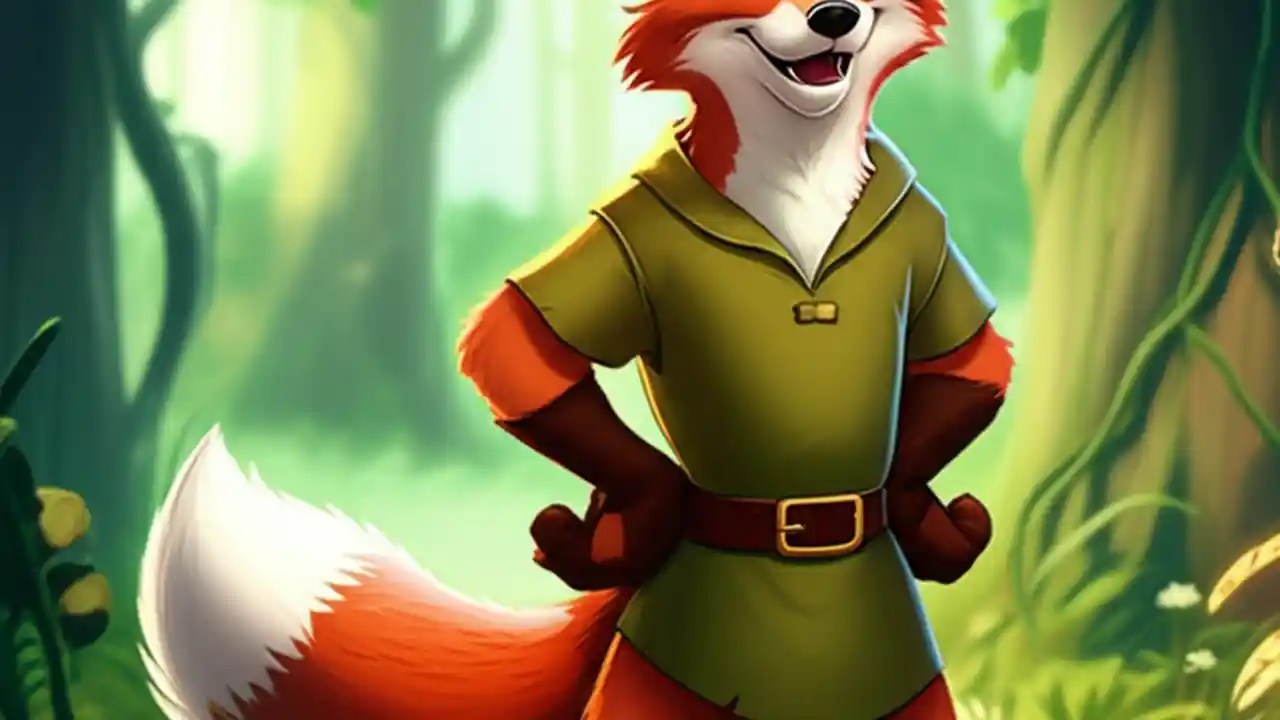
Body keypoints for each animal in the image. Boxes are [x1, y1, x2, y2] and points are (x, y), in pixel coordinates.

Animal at [140, 1, 1015, 718]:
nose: (835, 14)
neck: (798, 183)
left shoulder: (926, 229)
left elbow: (978, 366)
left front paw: (922, 515)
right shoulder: (624, 232)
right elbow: (517, 351)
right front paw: (648, 515)